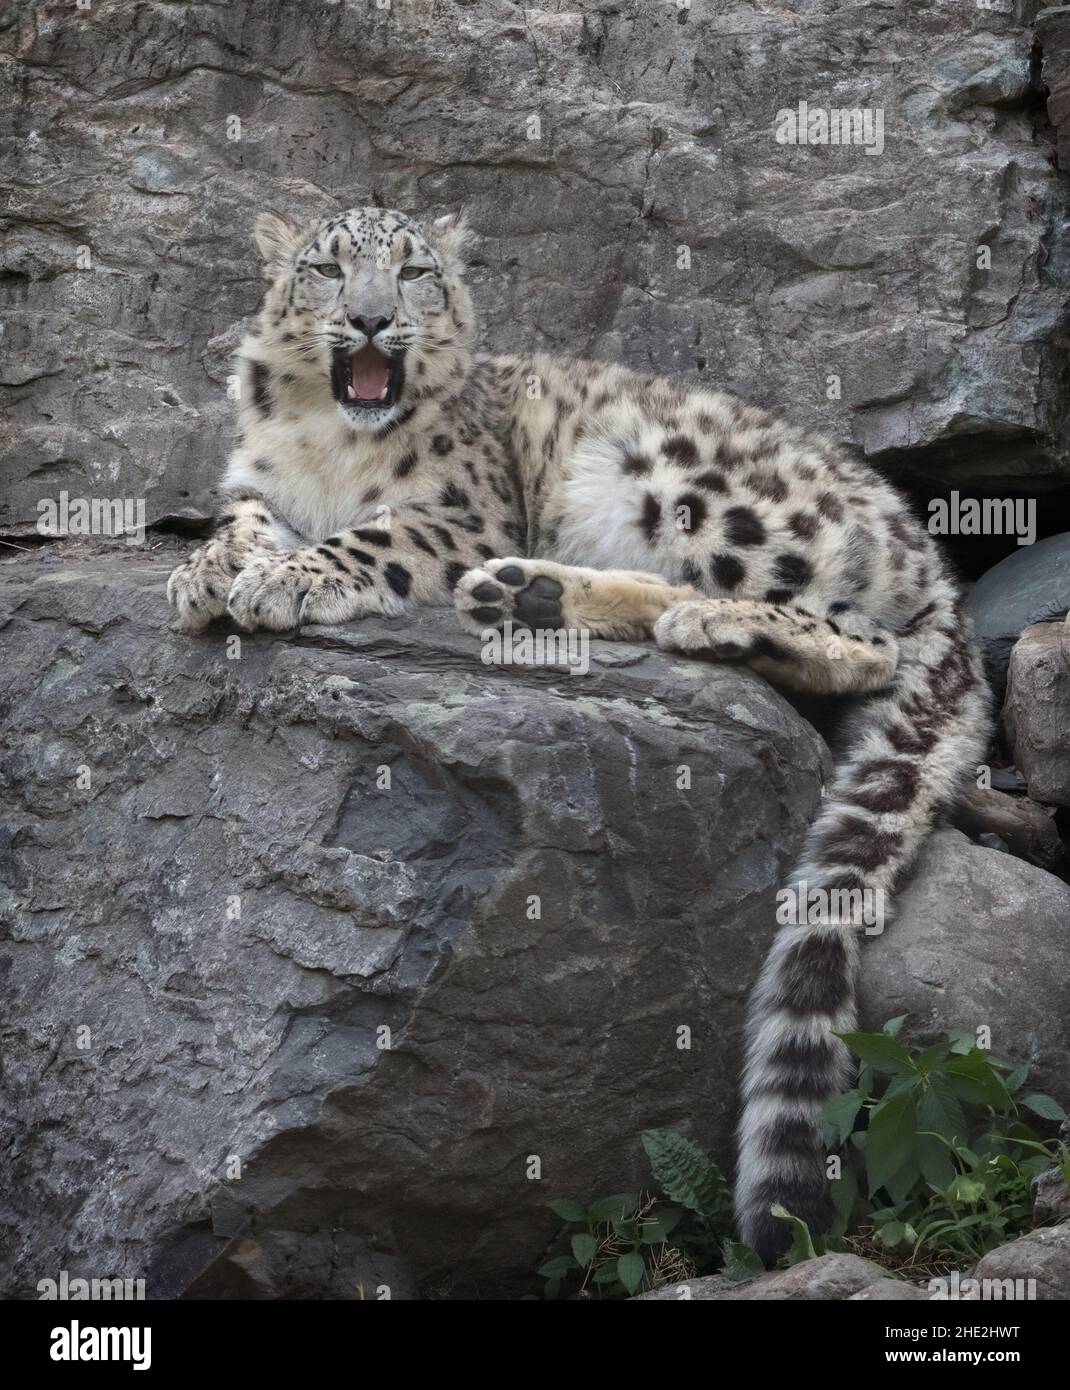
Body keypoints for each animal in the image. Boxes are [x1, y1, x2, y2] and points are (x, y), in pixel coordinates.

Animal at [167, 204, 990, 1264]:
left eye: (415, 272)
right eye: (326, 267)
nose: (373, 320)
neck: (326, 440)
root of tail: (931, 558)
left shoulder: (457, 514)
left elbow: (370, 538)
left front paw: (286, 580)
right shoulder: (257, 484)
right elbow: (237, 521)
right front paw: (204, 574)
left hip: (702, 493)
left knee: (867, 639)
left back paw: (712, 623)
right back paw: (536, 595)